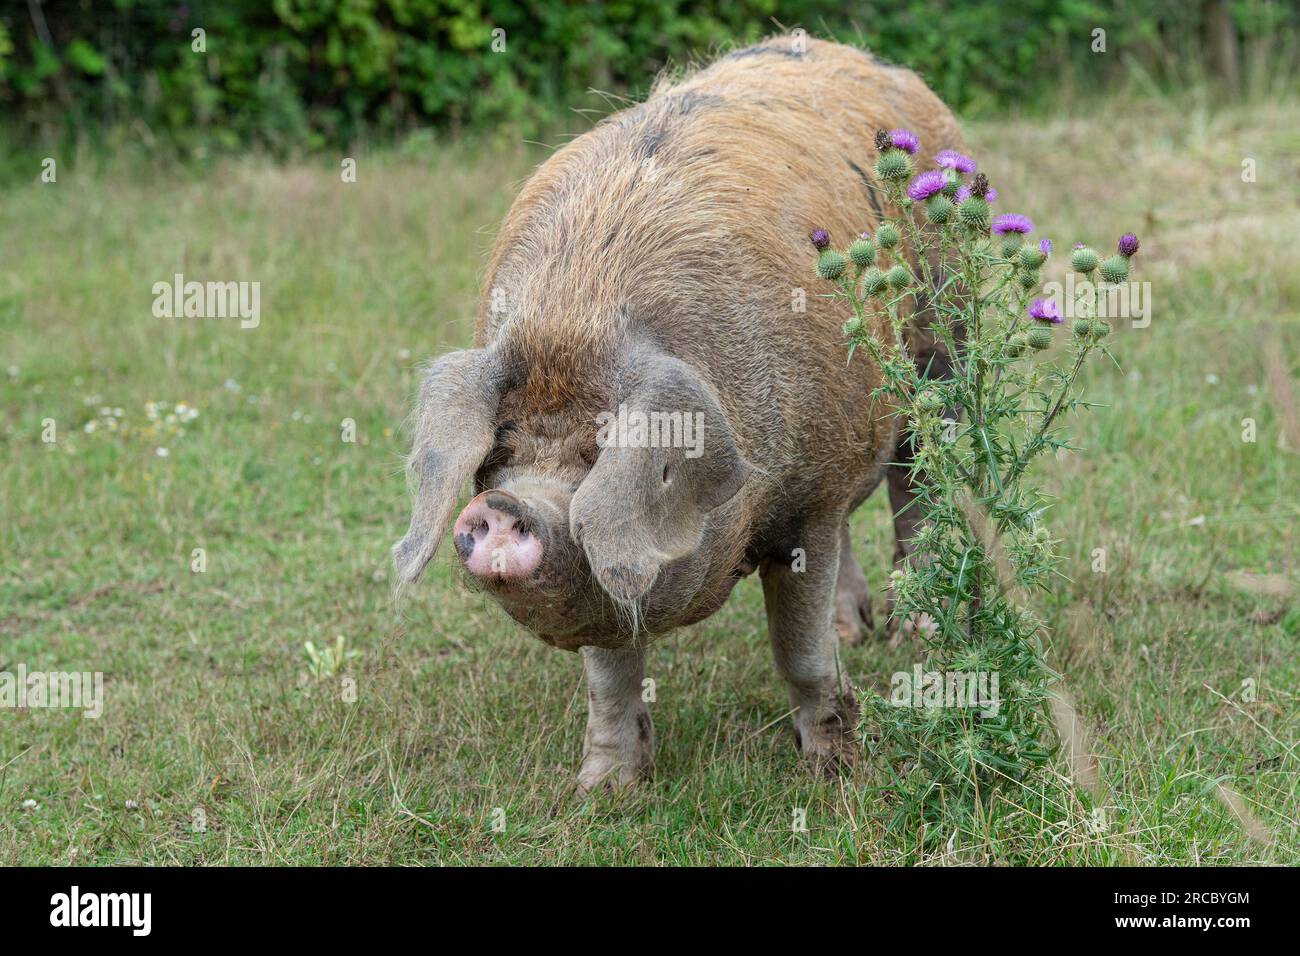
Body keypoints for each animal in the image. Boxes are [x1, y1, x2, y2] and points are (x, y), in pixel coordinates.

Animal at [393, 36, 965, 794]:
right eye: (500, 449)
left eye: (598, 450)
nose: (503, 507)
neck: (578, 318)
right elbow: (609, 676)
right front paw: (604, 791)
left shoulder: (805, 501)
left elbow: (799, 650)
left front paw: (835, 774)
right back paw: (857, 632)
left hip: (942, 349)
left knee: (915, 487)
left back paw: (913, 636)